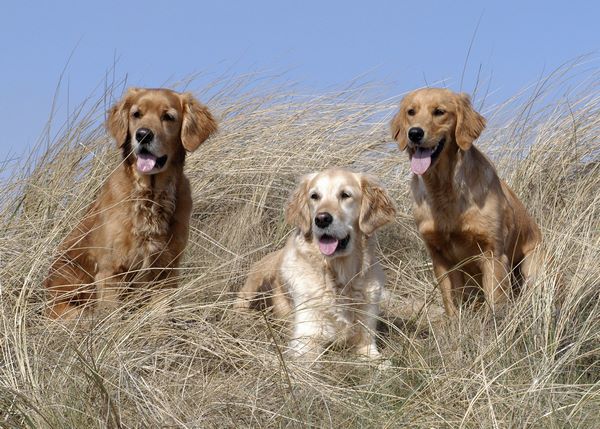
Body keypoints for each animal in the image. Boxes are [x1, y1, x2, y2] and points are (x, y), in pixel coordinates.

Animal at [45, 87, 218, 318]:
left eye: (168, 117)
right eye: (136, 114)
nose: (143, 135)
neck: (151, 196)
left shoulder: (166, 272)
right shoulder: (111, 271)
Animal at [236, 167, 398, 358]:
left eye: (345, 195)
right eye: (314, 196)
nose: (321, 219)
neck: (340, 279)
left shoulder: (367, 340)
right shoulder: (306, 341)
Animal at [392, 88, 540, 314]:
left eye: (439, 112)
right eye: (411, 112)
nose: (414, 133)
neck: (444, 190)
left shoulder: (492, 253)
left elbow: (495, 303)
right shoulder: (440, 257)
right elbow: (450, 303)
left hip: (532, 266)